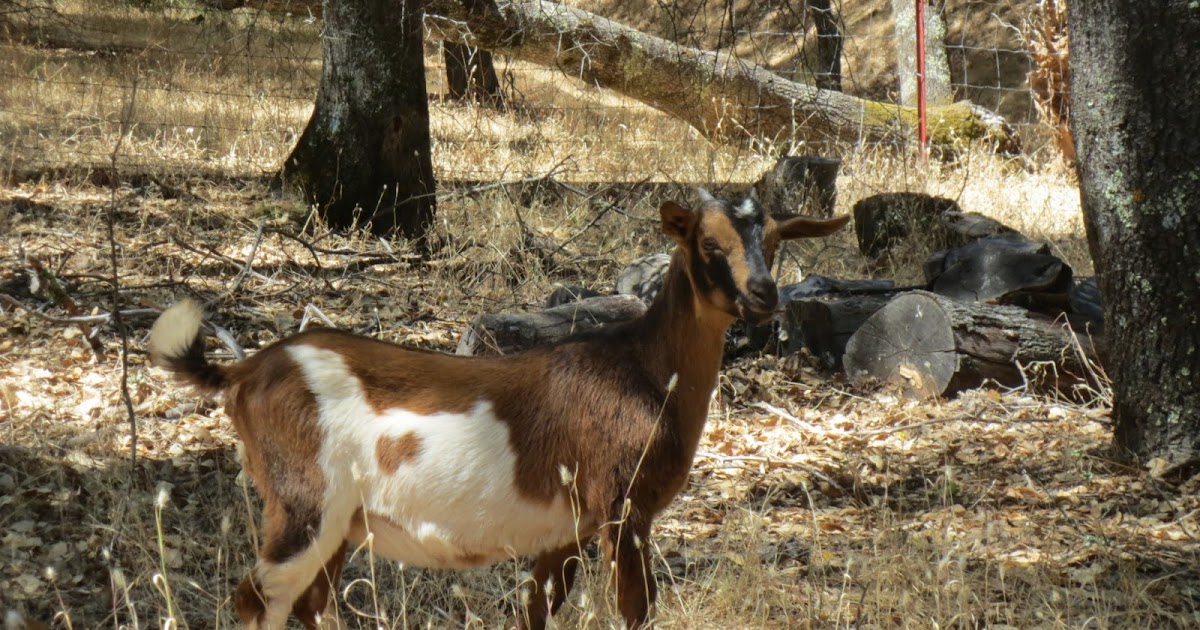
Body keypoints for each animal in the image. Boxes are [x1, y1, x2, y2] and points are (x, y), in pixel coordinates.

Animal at [148, 190, 849, 629]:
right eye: (708, 243)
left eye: (777, 242)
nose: (763, 296)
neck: (643, 369)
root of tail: (245, 371)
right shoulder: (623, 509)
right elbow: (635, 612)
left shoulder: (568, 528)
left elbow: (536, 611)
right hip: (304, 503)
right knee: (257, 599)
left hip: (342, 523)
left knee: (310, 603)